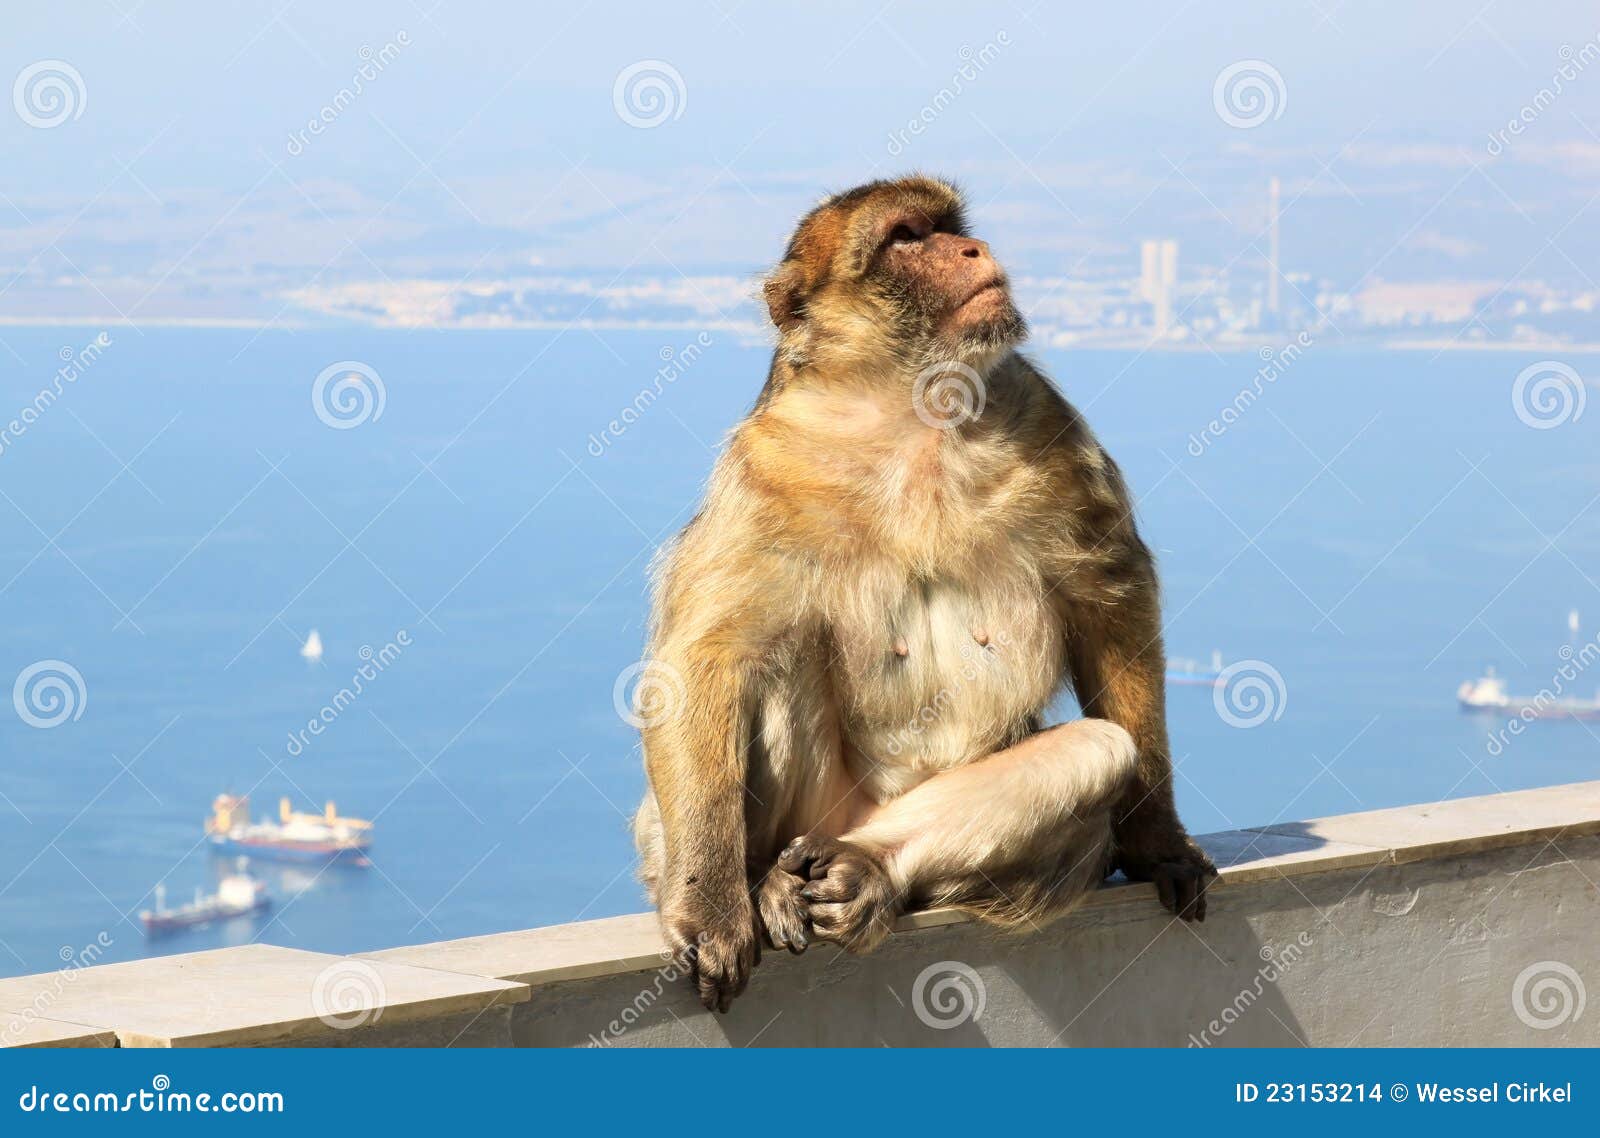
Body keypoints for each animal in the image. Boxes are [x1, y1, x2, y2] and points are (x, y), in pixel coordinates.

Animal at [631, 174, 1216, 1013]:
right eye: (908, 237)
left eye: (950, 226)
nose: (973, 249)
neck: (911, 406)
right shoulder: (764, 461)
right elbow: (705, 656)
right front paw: (711, 905)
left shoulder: (1047, 422)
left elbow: (1110, 598)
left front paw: (1157, 838)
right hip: (807, 811)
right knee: (774, 656)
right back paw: (764, 881)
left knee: (1098, 749)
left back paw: (865, 872)